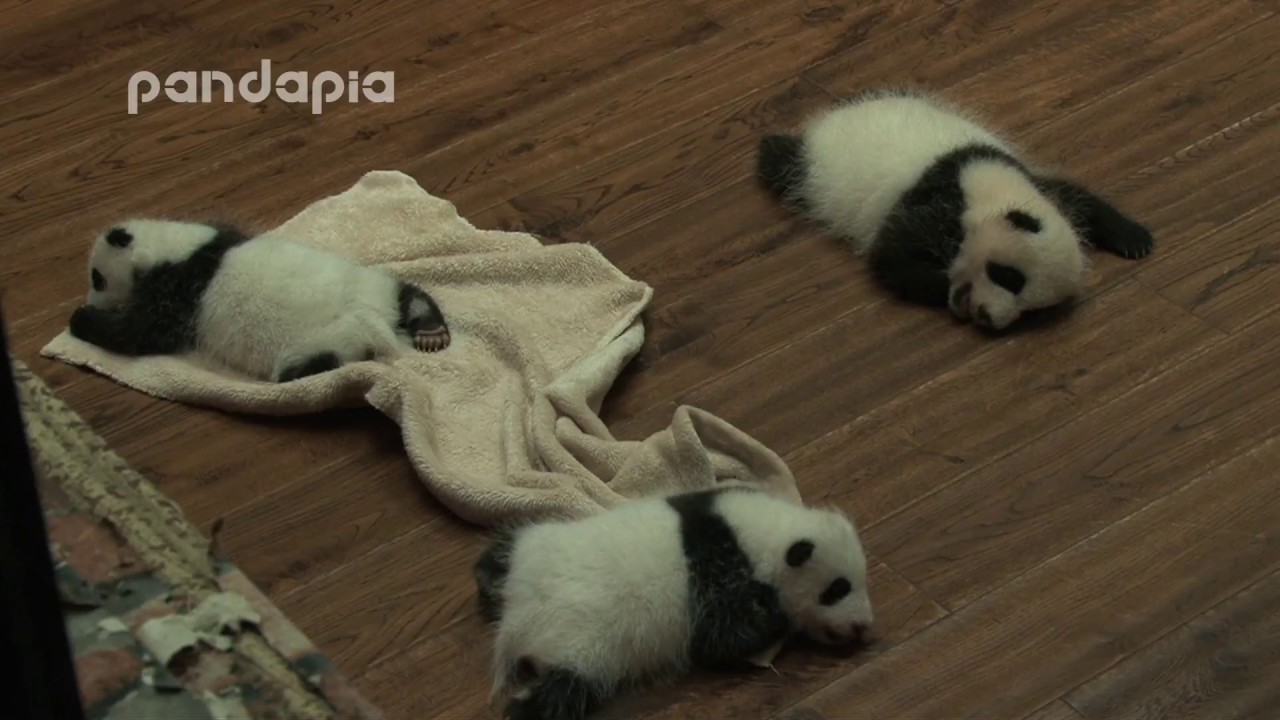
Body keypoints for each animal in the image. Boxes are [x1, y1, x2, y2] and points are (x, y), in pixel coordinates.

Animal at [67, 218, 450, 382]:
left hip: (321, 341)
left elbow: (140, 333)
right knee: (405, 293)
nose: (92, 298)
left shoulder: (175, 292)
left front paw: (81, 318)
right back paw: (430, 331)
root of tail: (369, 320)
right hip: (367, 285)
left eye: (97, 278)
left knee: (309, 366)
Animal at [473, 485, 874, 720]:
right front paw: (777, 621)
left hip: (540, 546)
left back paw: (489, 574)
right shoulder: (717, 579)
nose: (862, 625)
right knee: (560, 693)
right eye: (837, 589)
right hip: (584, 648)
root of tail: (519, 621)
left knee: (506, 549)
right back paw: (523, 709)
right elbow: (723, 639)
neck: (756, 537)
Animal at [756, 88, 1156, 331]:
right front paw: (941, 280)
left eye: (1031, 310)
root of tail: (829, 122)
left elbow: (1079, 199)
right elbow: (891, 257)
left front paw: (1135, 238)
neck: (993, 190)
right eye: (1008, 276)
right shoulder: (938, 204)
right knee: (780, 161)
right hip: (817, 173)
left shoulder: (1033, 185)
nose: (985, 315)